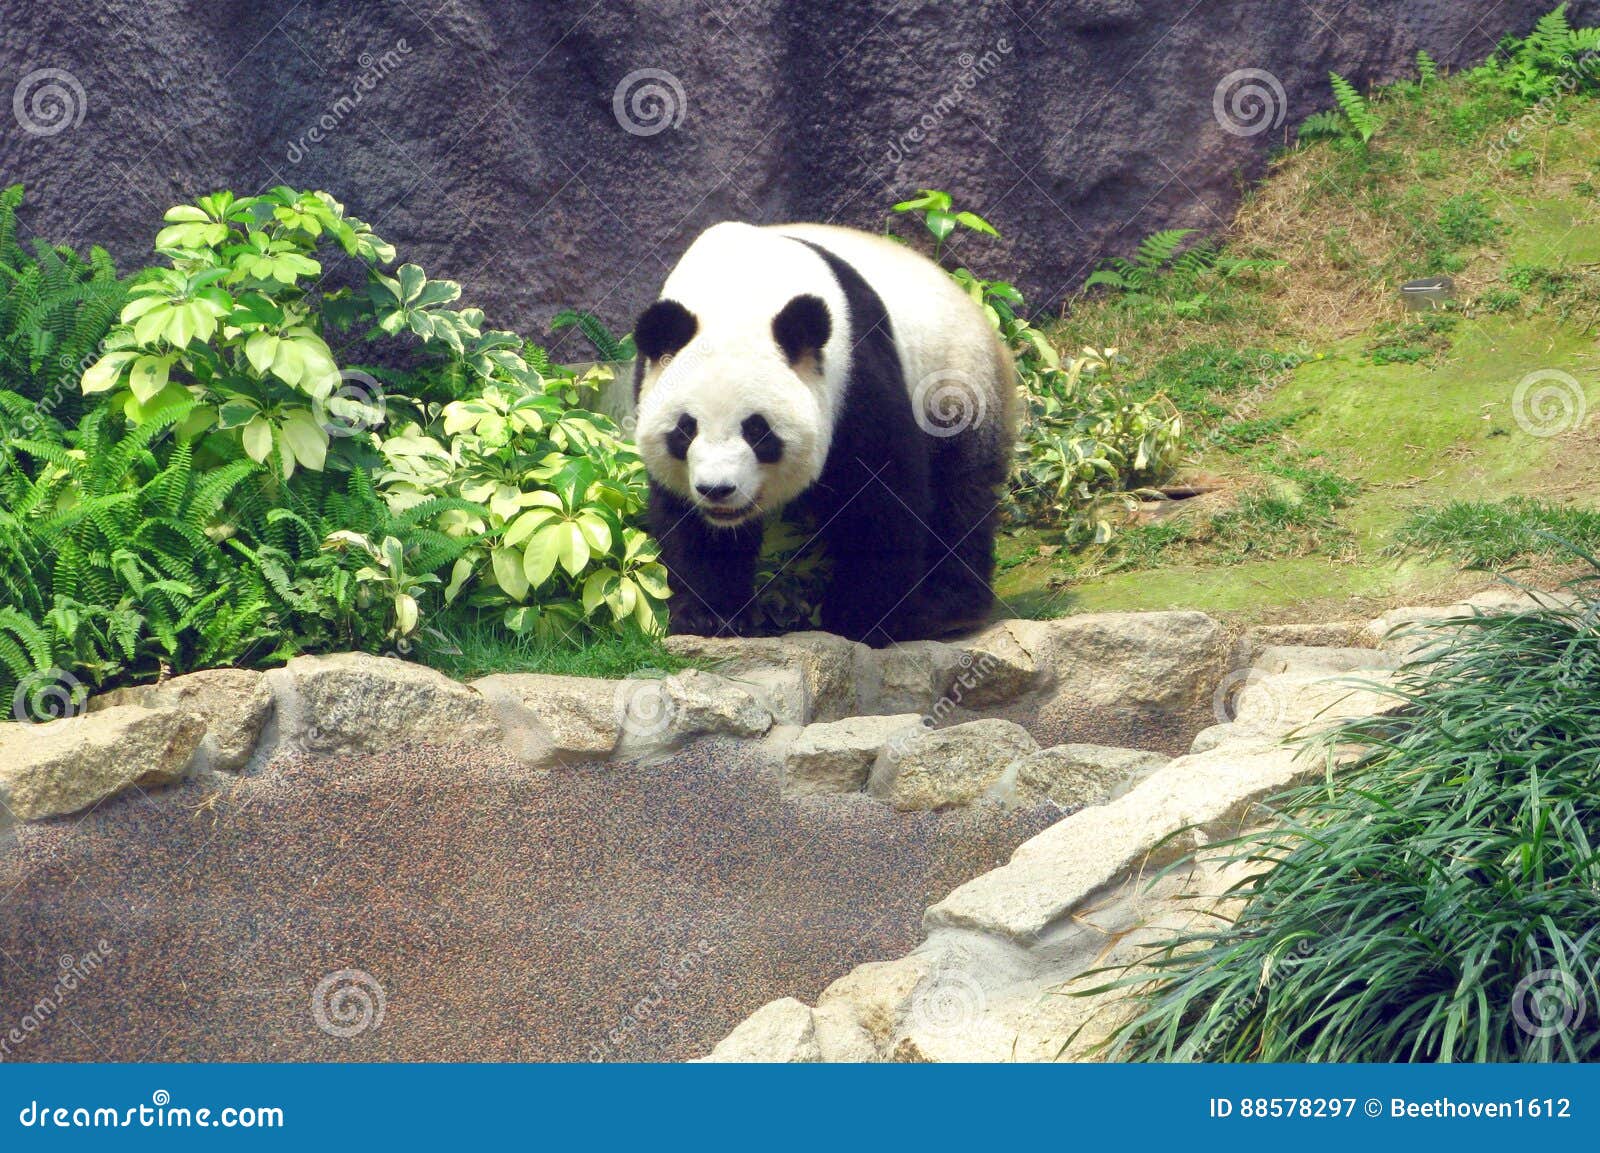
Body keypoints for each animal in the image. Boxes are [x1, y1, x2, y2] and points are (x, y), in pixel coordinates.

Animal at [631, 221, 1017, 648]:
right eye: (686, 429)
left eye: (757, 430)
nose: (718, 490)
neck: (740, 292)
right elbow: (686, 519)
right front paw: (711, 615)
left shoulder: (855, 373)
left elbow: (879, 499)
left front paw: (859, 620)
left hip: (956, 381)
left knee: (960, 492)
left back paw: (945, 607)